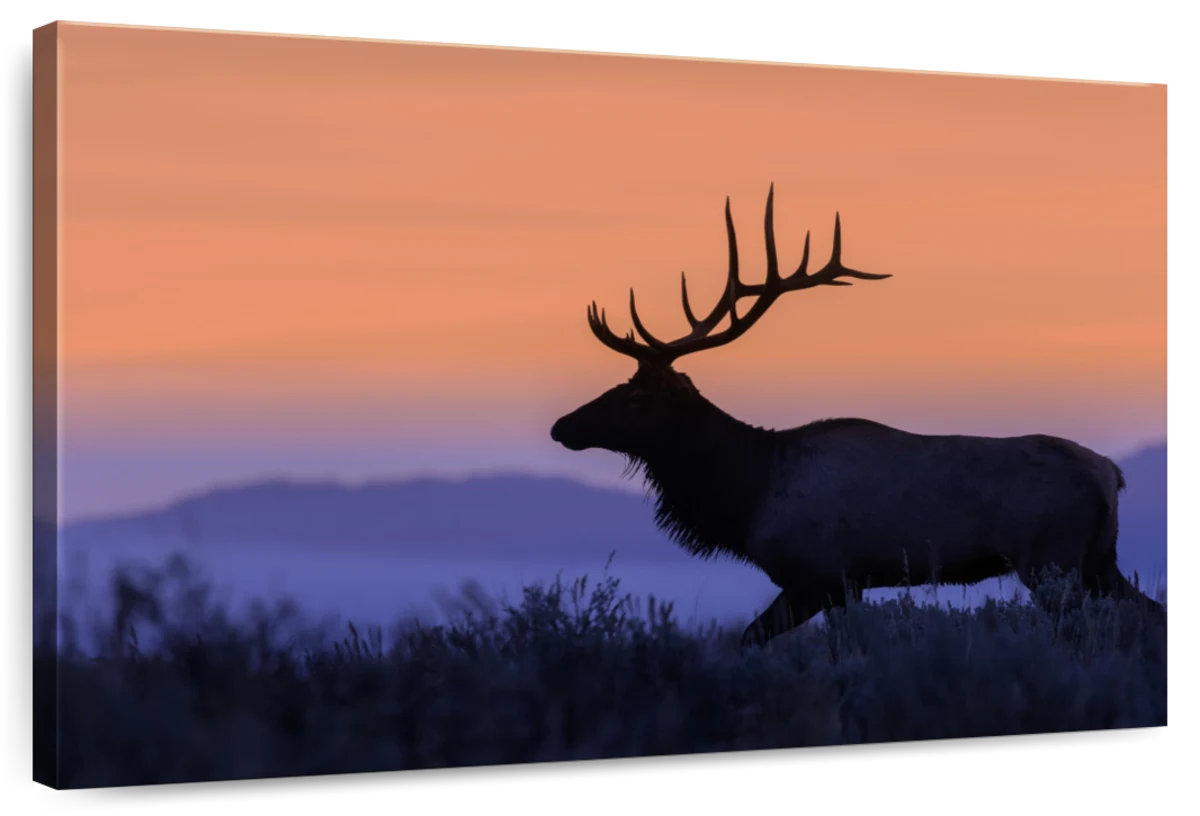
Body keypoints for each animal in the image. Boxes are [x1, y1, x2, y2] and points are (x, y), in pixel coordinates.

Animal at [550, 184, 1165, 645]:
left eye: (636, 396)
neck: (747, 493)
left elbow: (759, 640)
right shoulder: (847, 584)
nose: (561, 426)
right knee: (1152, 614)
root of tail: (1111, 474)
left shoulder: (818, 573)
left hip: (1051, 558)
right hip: (1097, 559)